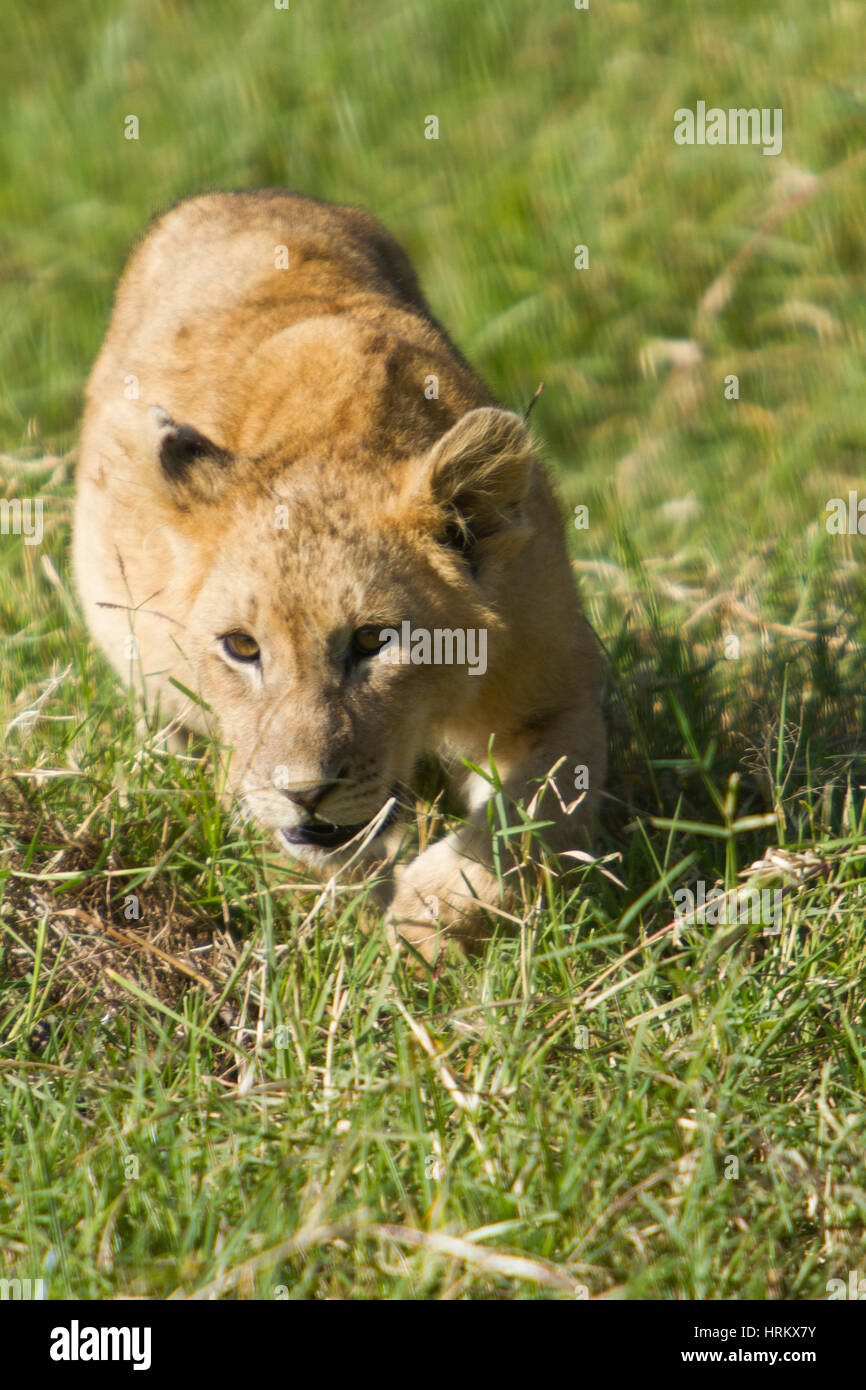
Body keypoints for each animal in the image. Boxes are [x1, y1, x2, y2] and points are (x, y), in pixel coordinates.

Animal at [73, 189, 605, 959]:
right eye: (241, 646)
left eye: (373, 642)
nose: (304, 792)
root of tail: (244, 193)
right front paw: (359, 932)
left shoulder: (560, 694)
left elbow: (534, 813)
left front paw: (428, 919)